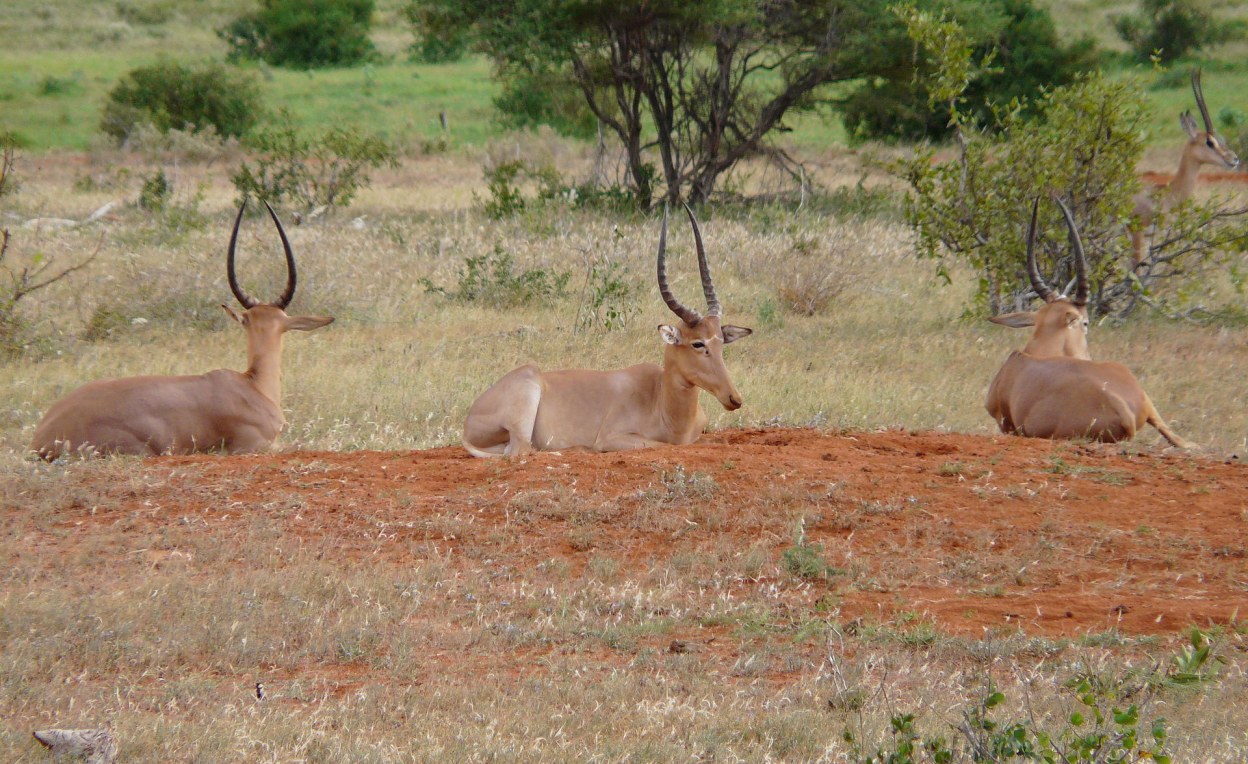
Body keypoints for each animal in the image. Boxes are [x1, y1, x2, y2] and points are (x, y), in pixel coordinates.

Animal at [462, 205, 752, 457]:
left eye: (721, 342)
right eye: (697, 343)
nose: (734, 398)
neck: (661, 399)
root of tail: (469, 421)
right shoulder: (615, 439)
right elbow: (662, 445)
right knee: (522, 451)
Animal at [1130, 68, 1240, 264]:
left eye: (1220, 138)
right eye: (1209, 142)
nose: (1234, 159)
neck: (1162, 193)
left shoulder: (1152, 236)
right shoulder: (1137, 234)